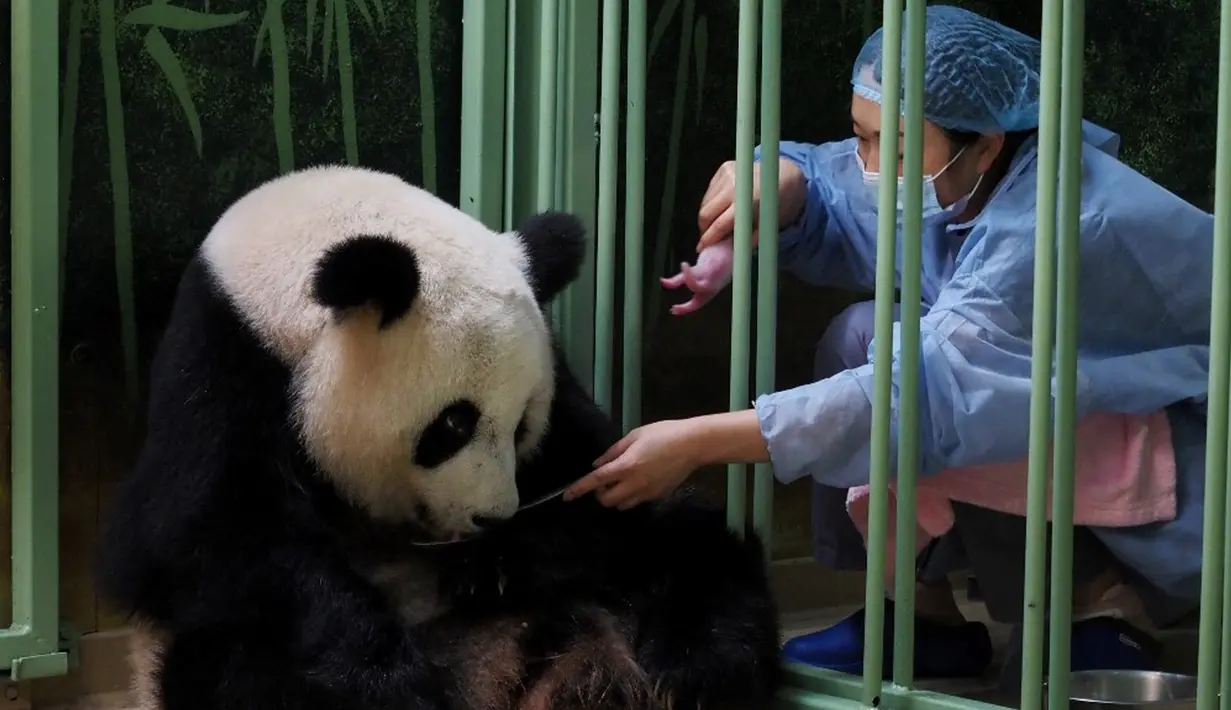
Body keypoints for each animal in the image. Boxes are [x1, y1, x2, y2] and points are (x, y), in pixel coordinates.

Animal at [96, 165, 782, 710]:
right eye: (452, 425)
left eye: (523, 423)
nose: (491, 518)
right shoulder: (221, 370)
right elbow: (204, 536)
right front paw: (387, 675)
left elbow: (591, 482)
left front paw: (499, 560)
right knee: (237, 672)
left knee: (690, 547)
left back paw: (693, 666)